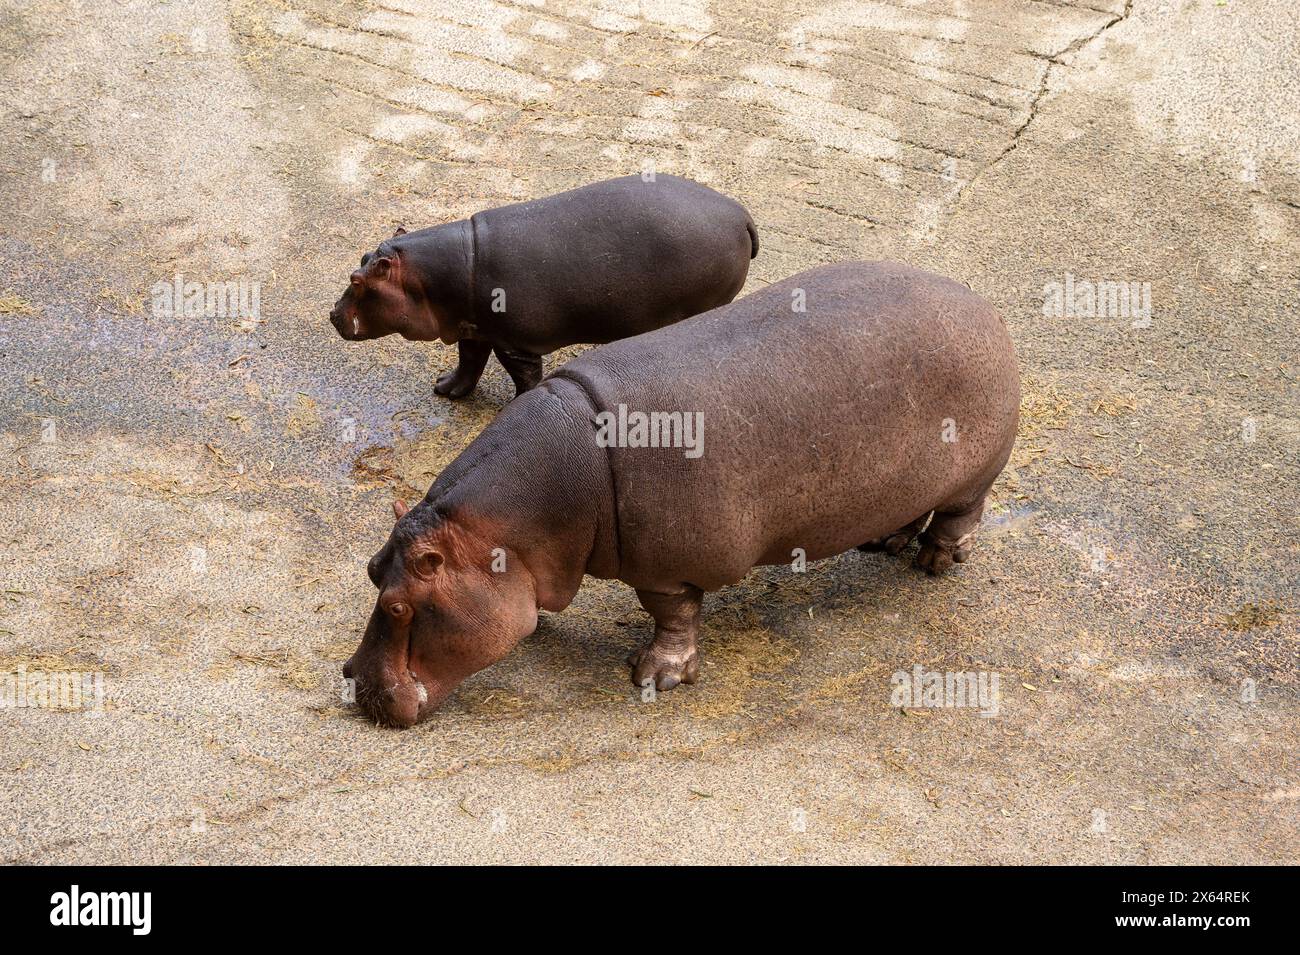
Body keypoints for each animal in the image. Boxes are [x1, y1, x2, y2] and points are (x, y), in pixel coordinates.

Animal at [328, 174, 759, 398]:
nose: (332, 313)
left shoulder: (515, 343)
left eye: (357, 281)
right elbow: (469, 363)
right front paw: (445, 389)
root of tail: (740, 213)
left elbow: (524, 377)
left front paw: (516, 404)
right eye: (360, 257)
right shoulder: (475, 330)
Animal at [342, 261, 1020, 727]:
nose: (351, 680)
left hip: (976, 472)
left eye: (399, 606)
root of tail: (980, 303)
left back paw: (933, 562)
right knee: (911, 509)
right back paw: (885, 541)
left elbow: (672, 616)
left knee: (961, 515)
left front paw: (655, 677)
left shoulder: (665, 568)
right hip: (905, 479)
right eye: (372, 569)